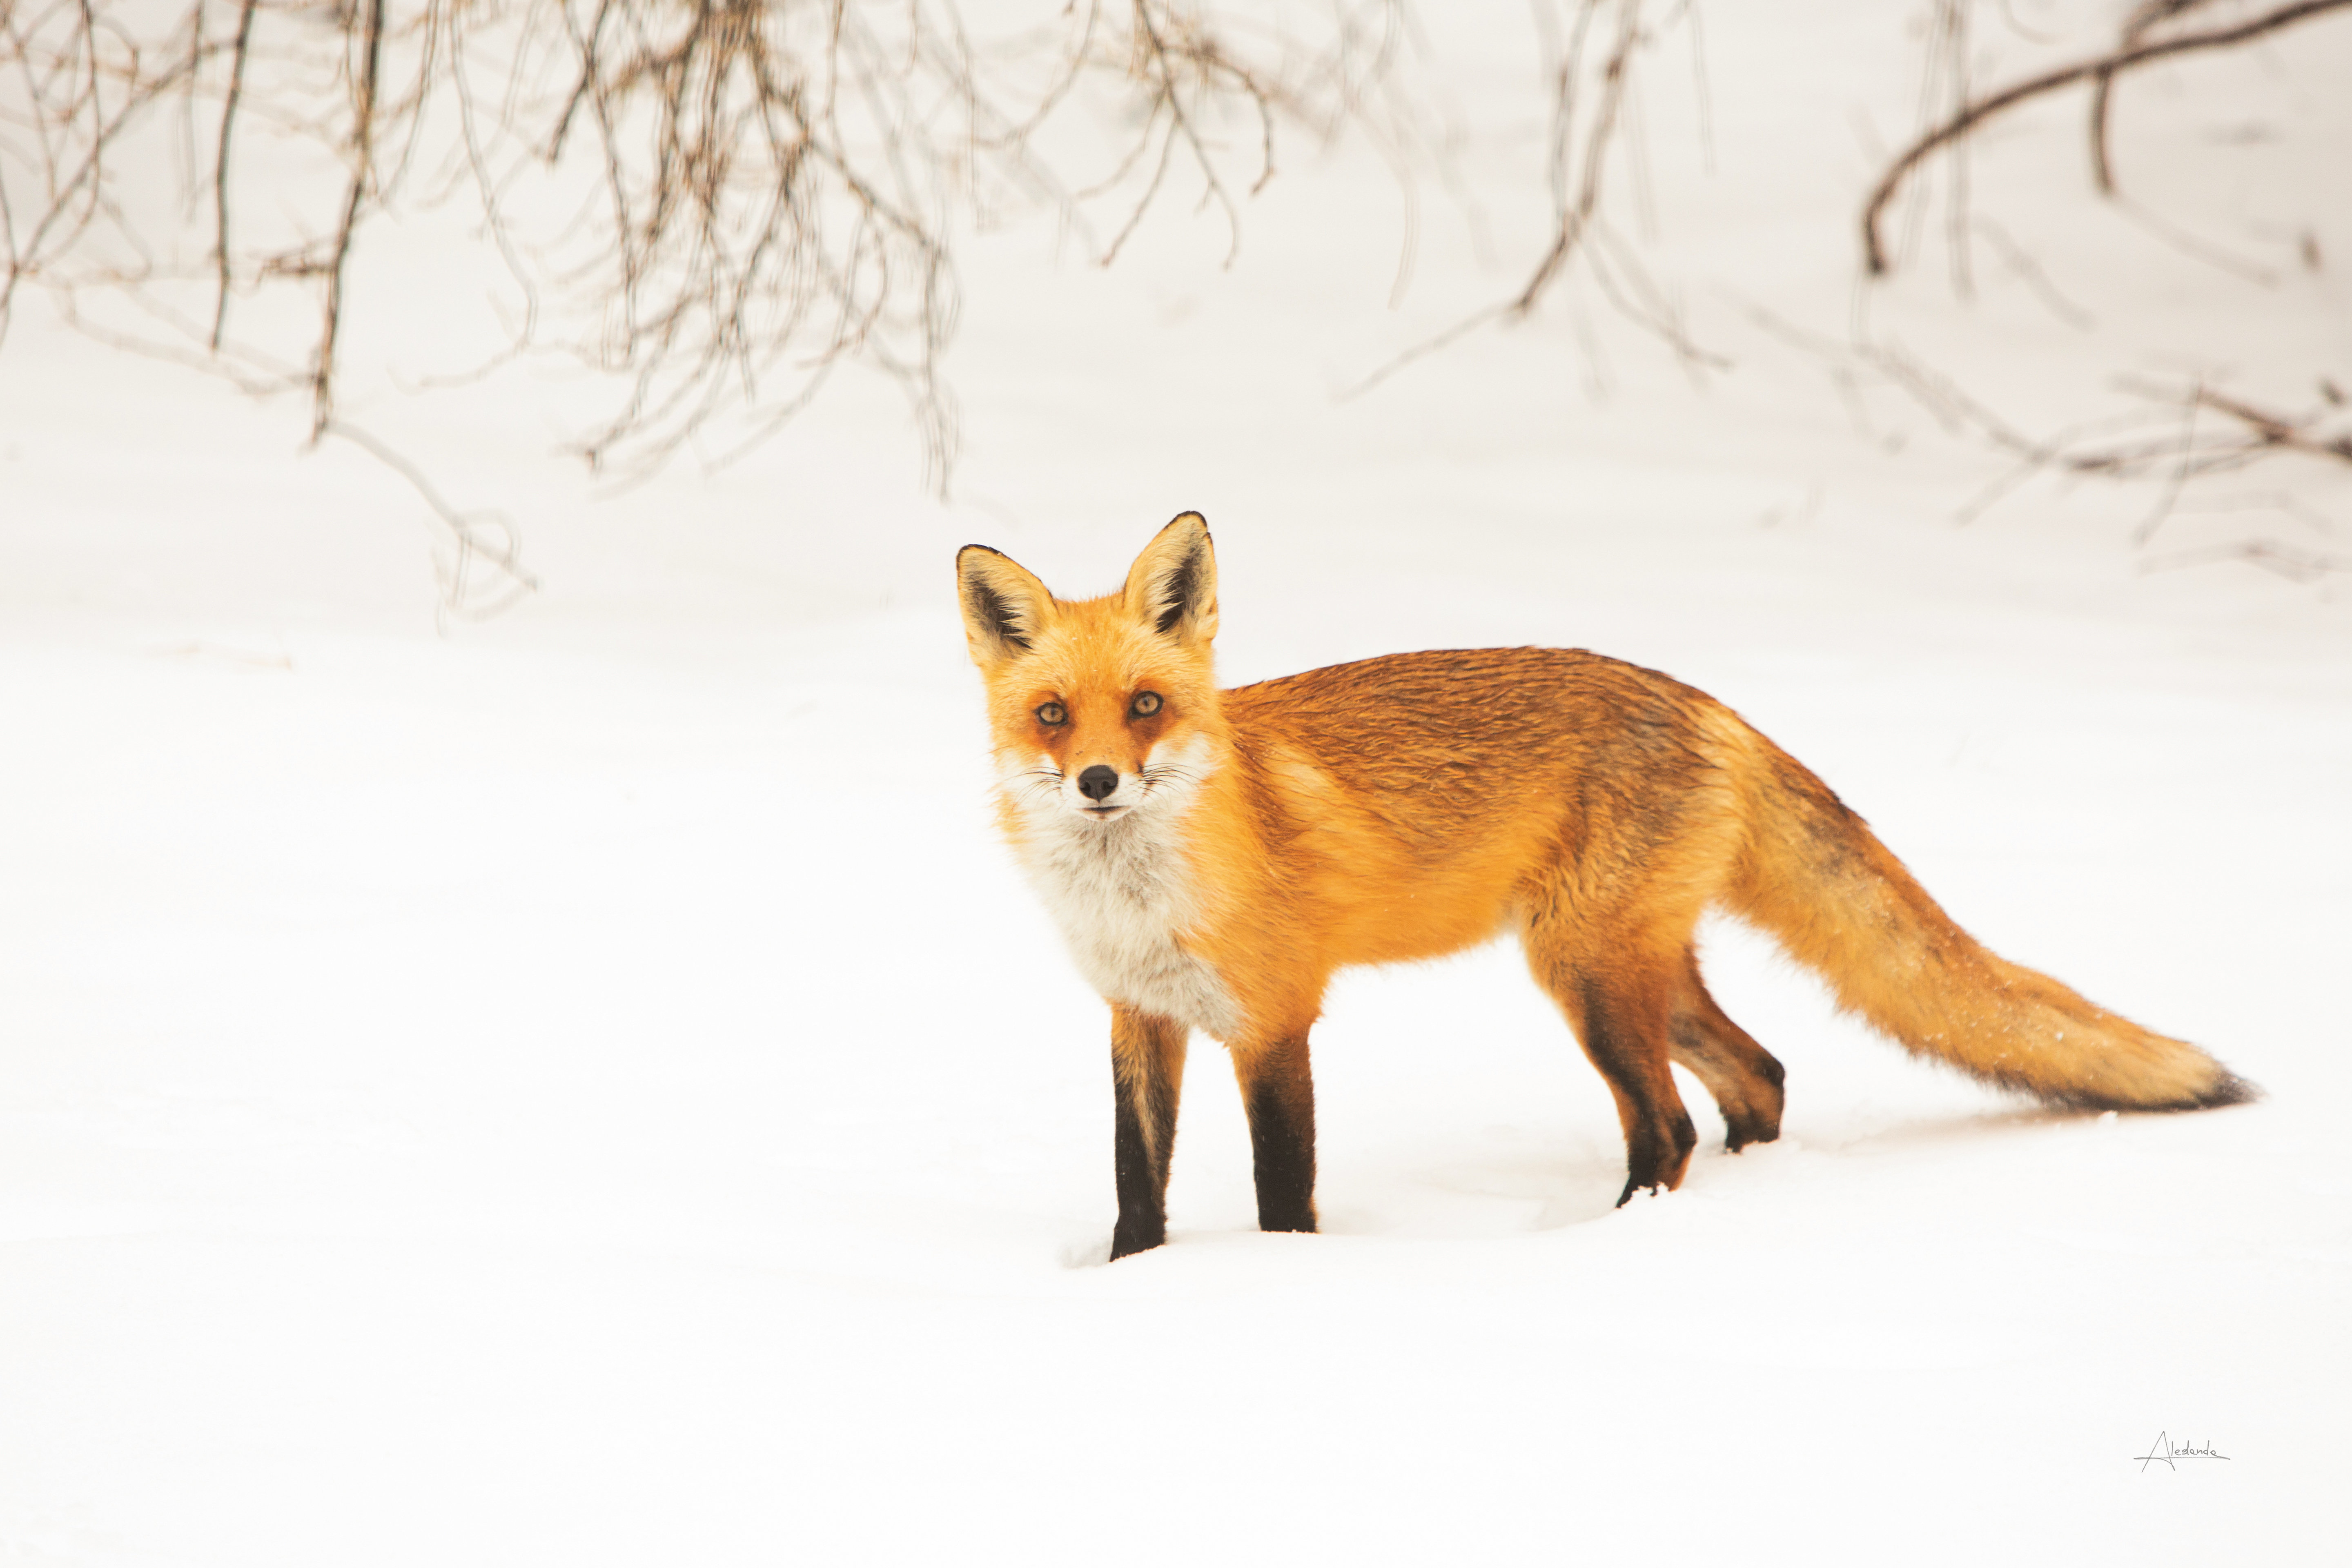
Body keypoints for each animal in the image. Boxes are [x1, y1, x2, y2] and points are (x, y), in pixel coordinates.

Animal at [957, 512, 2254, 1260]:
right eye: (1055, 715)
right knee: (1761, 1076)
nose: (1100, 781)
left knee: (1668, 1123)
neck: (1139, 900)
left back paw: (1606, 1255)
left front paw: (1275, 1289)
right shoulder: (1140, 1017)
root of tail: (1703, 700)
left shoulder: (1274, 1020)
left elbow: (1284, 1190)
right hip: (1633, 971)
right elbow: (1136, 1188)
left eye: (1147, 705)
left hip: (1584, 975)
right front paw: (1134, 1285)